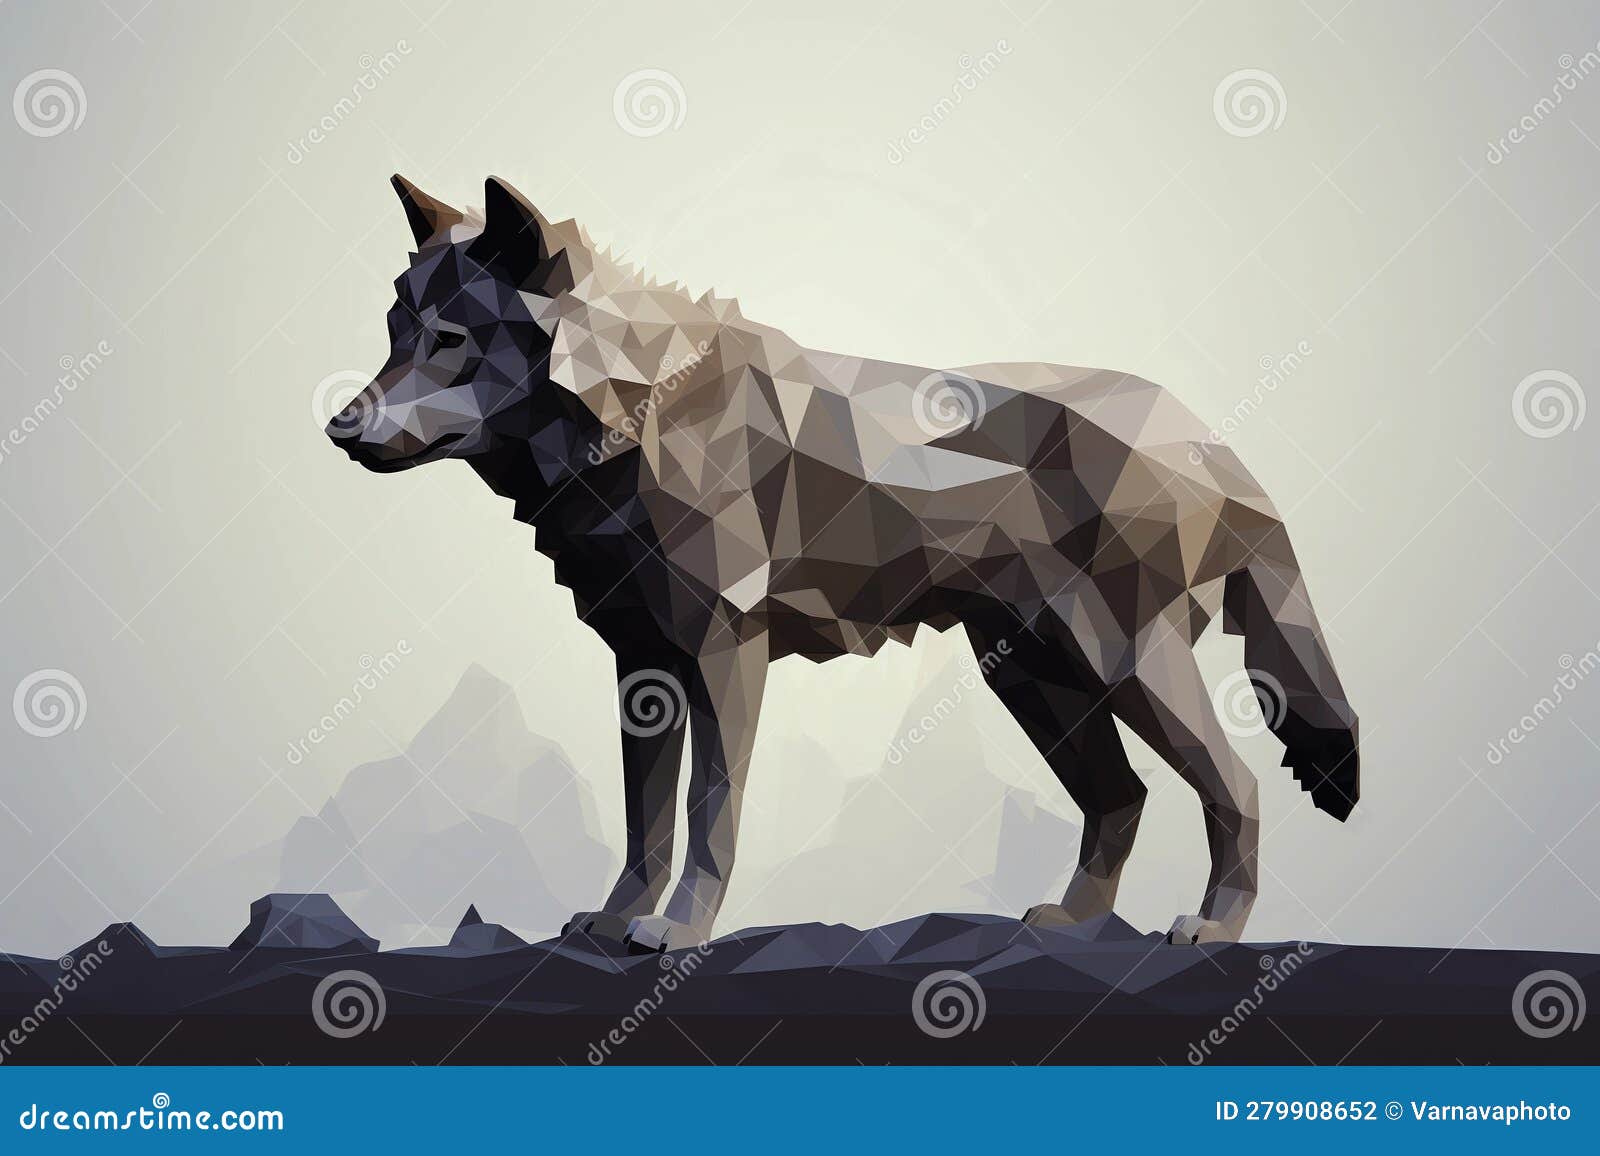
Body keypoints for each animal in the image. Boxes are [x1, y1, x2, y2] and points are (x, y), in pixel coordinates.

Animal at [328, 175, 1359, 950]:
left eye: (451, 342)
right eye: (393, 333)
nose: (339, 427)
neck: (641, 414)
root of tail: (1203, 434)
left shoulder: (724, 656)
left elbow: (708, 813)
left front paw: (680, 933)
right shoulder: (643, 669)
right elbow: (643, 826)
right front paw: (617, 922)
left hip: (1123, 667)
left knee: (1238, 787)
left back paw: (1214, 929)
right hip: (1038, 683)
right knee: (1125, 796)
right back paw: (1074, 923)